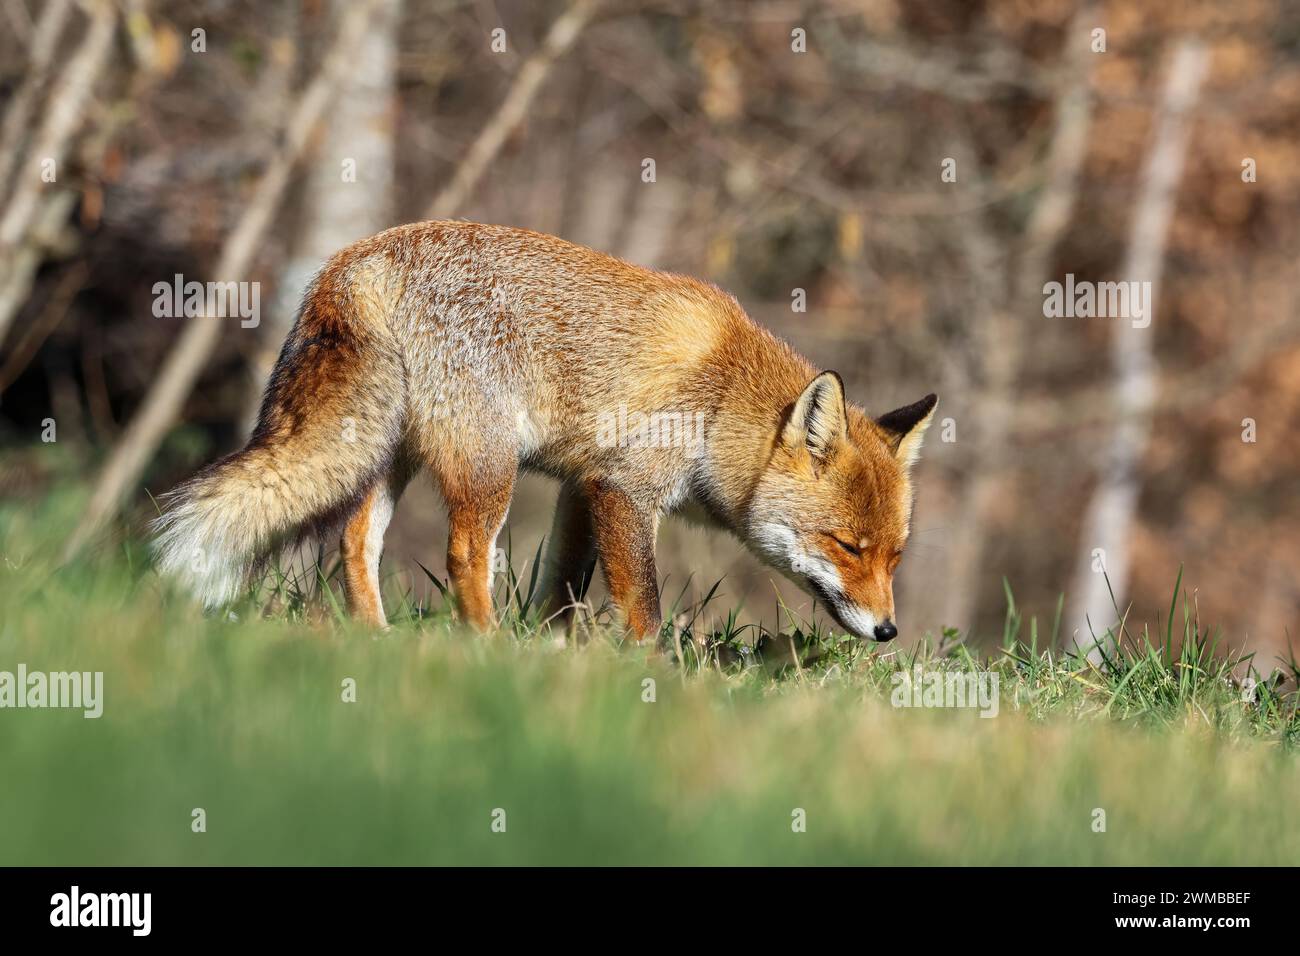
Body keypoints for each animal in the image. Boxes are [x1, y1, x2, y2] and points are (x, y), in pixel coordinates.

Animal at [153, 221, 937, 642]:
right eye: (847, 546)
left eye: (895, 557)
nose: (889, 631)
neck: (724, 400)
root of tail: (358, 259)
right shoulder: (624, 489)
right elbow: (646, 609)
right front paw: (647, 677)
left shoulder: (580, 489)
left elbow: (562, 590)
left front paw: (554, 664)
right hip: (487, 462)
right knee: (466, 555)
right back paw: (483, 644)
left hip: (389, 454)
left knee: (354, 542)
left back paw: (377, 641)